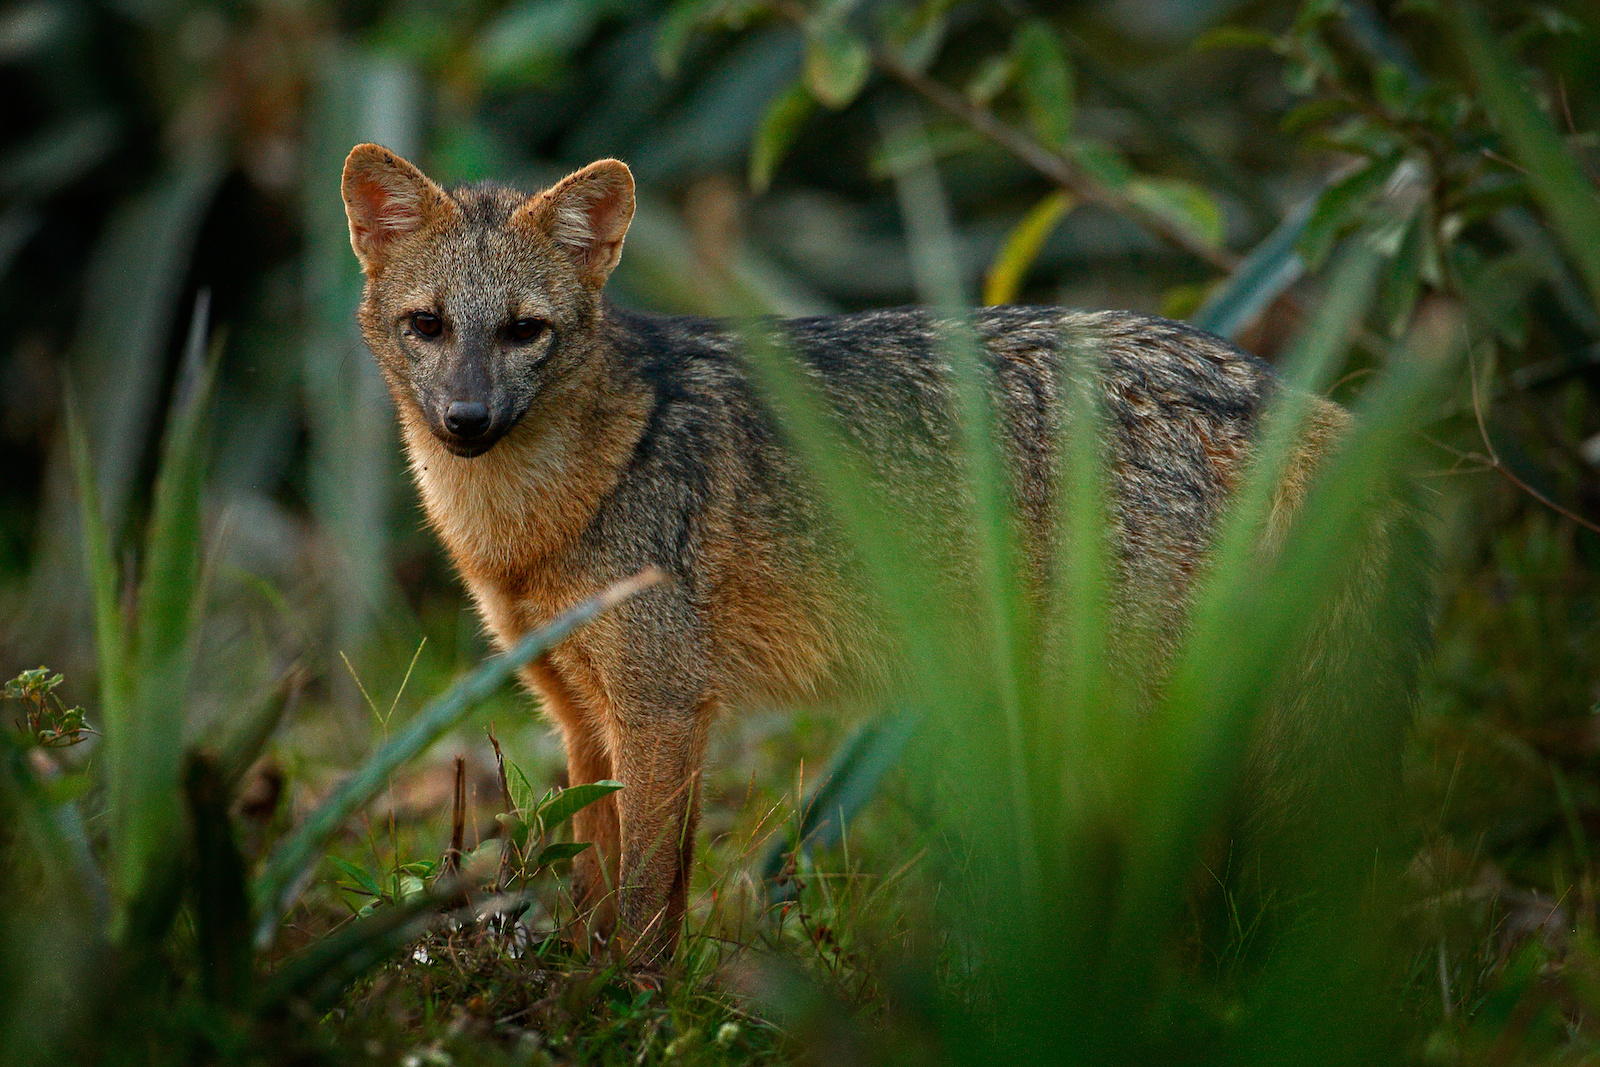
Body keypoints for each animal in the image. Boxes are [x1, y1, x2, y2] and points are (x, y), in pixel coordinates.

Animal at [339, 144, 1425, 964]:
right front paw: (575, 989)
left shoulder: (663, 711)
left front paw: (625, 1009)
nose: (466, 419)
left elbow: (645, 904)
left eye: (525, 331)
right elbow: (596, 888)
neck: (546, 515)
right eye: (428, 326)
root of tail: (1300, 398)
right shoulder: (582, 716)